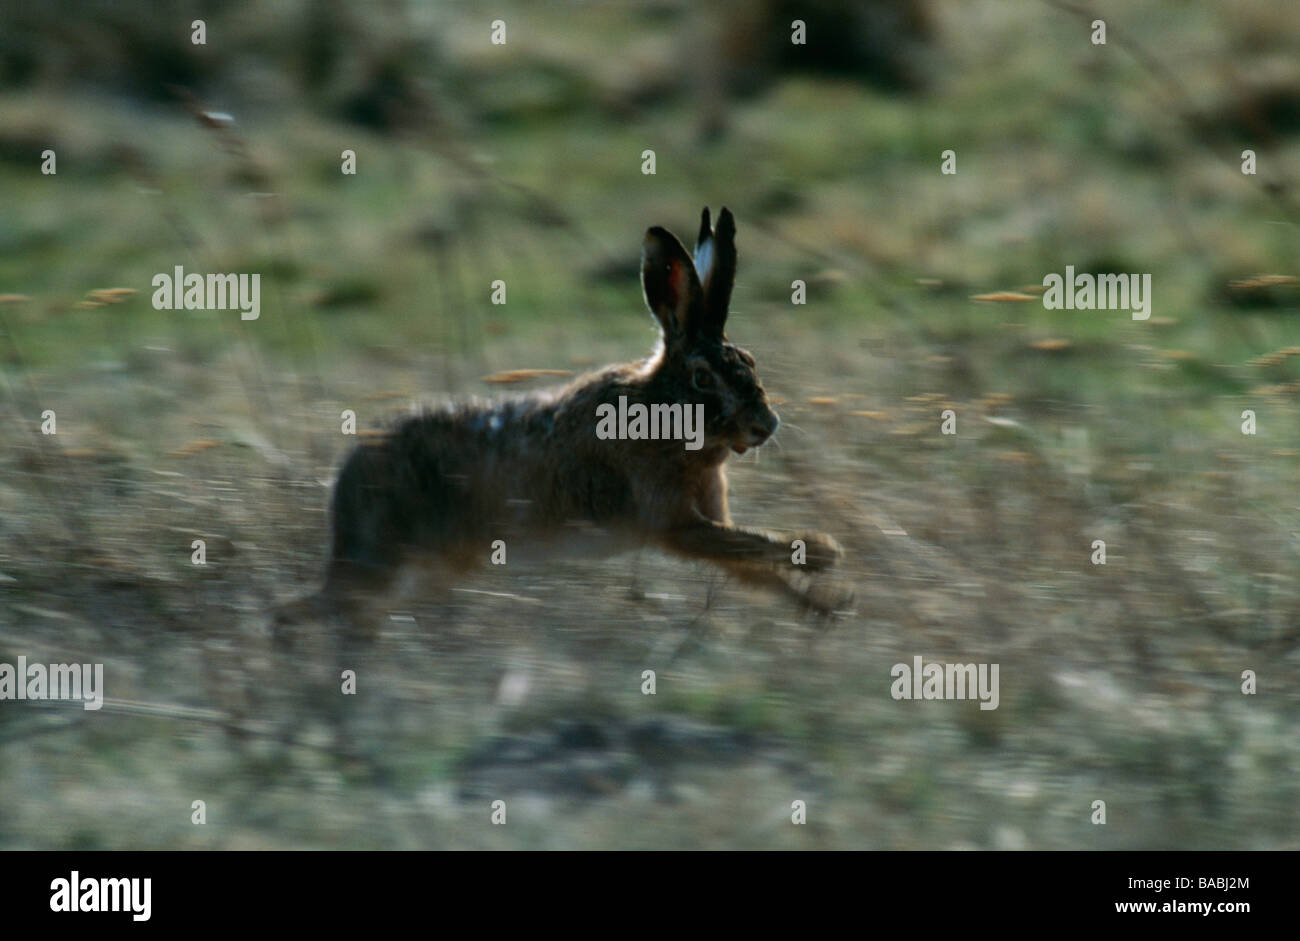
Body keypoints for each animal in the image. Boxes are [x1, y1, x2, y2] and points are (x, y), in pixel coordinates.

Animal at [278, 207, 844, 640]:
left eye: (750, 361)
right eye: (703, 378)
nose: (766, 425)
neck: (661, 413)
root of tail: (346, 473)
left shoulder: (700, 522)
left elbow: (752, 571)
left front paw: (826, 606)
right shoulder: (673, 523)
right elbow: (750, 543)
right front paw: (822, 551)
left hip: (424, 569)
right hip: (384, 560)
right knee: (300, 612)